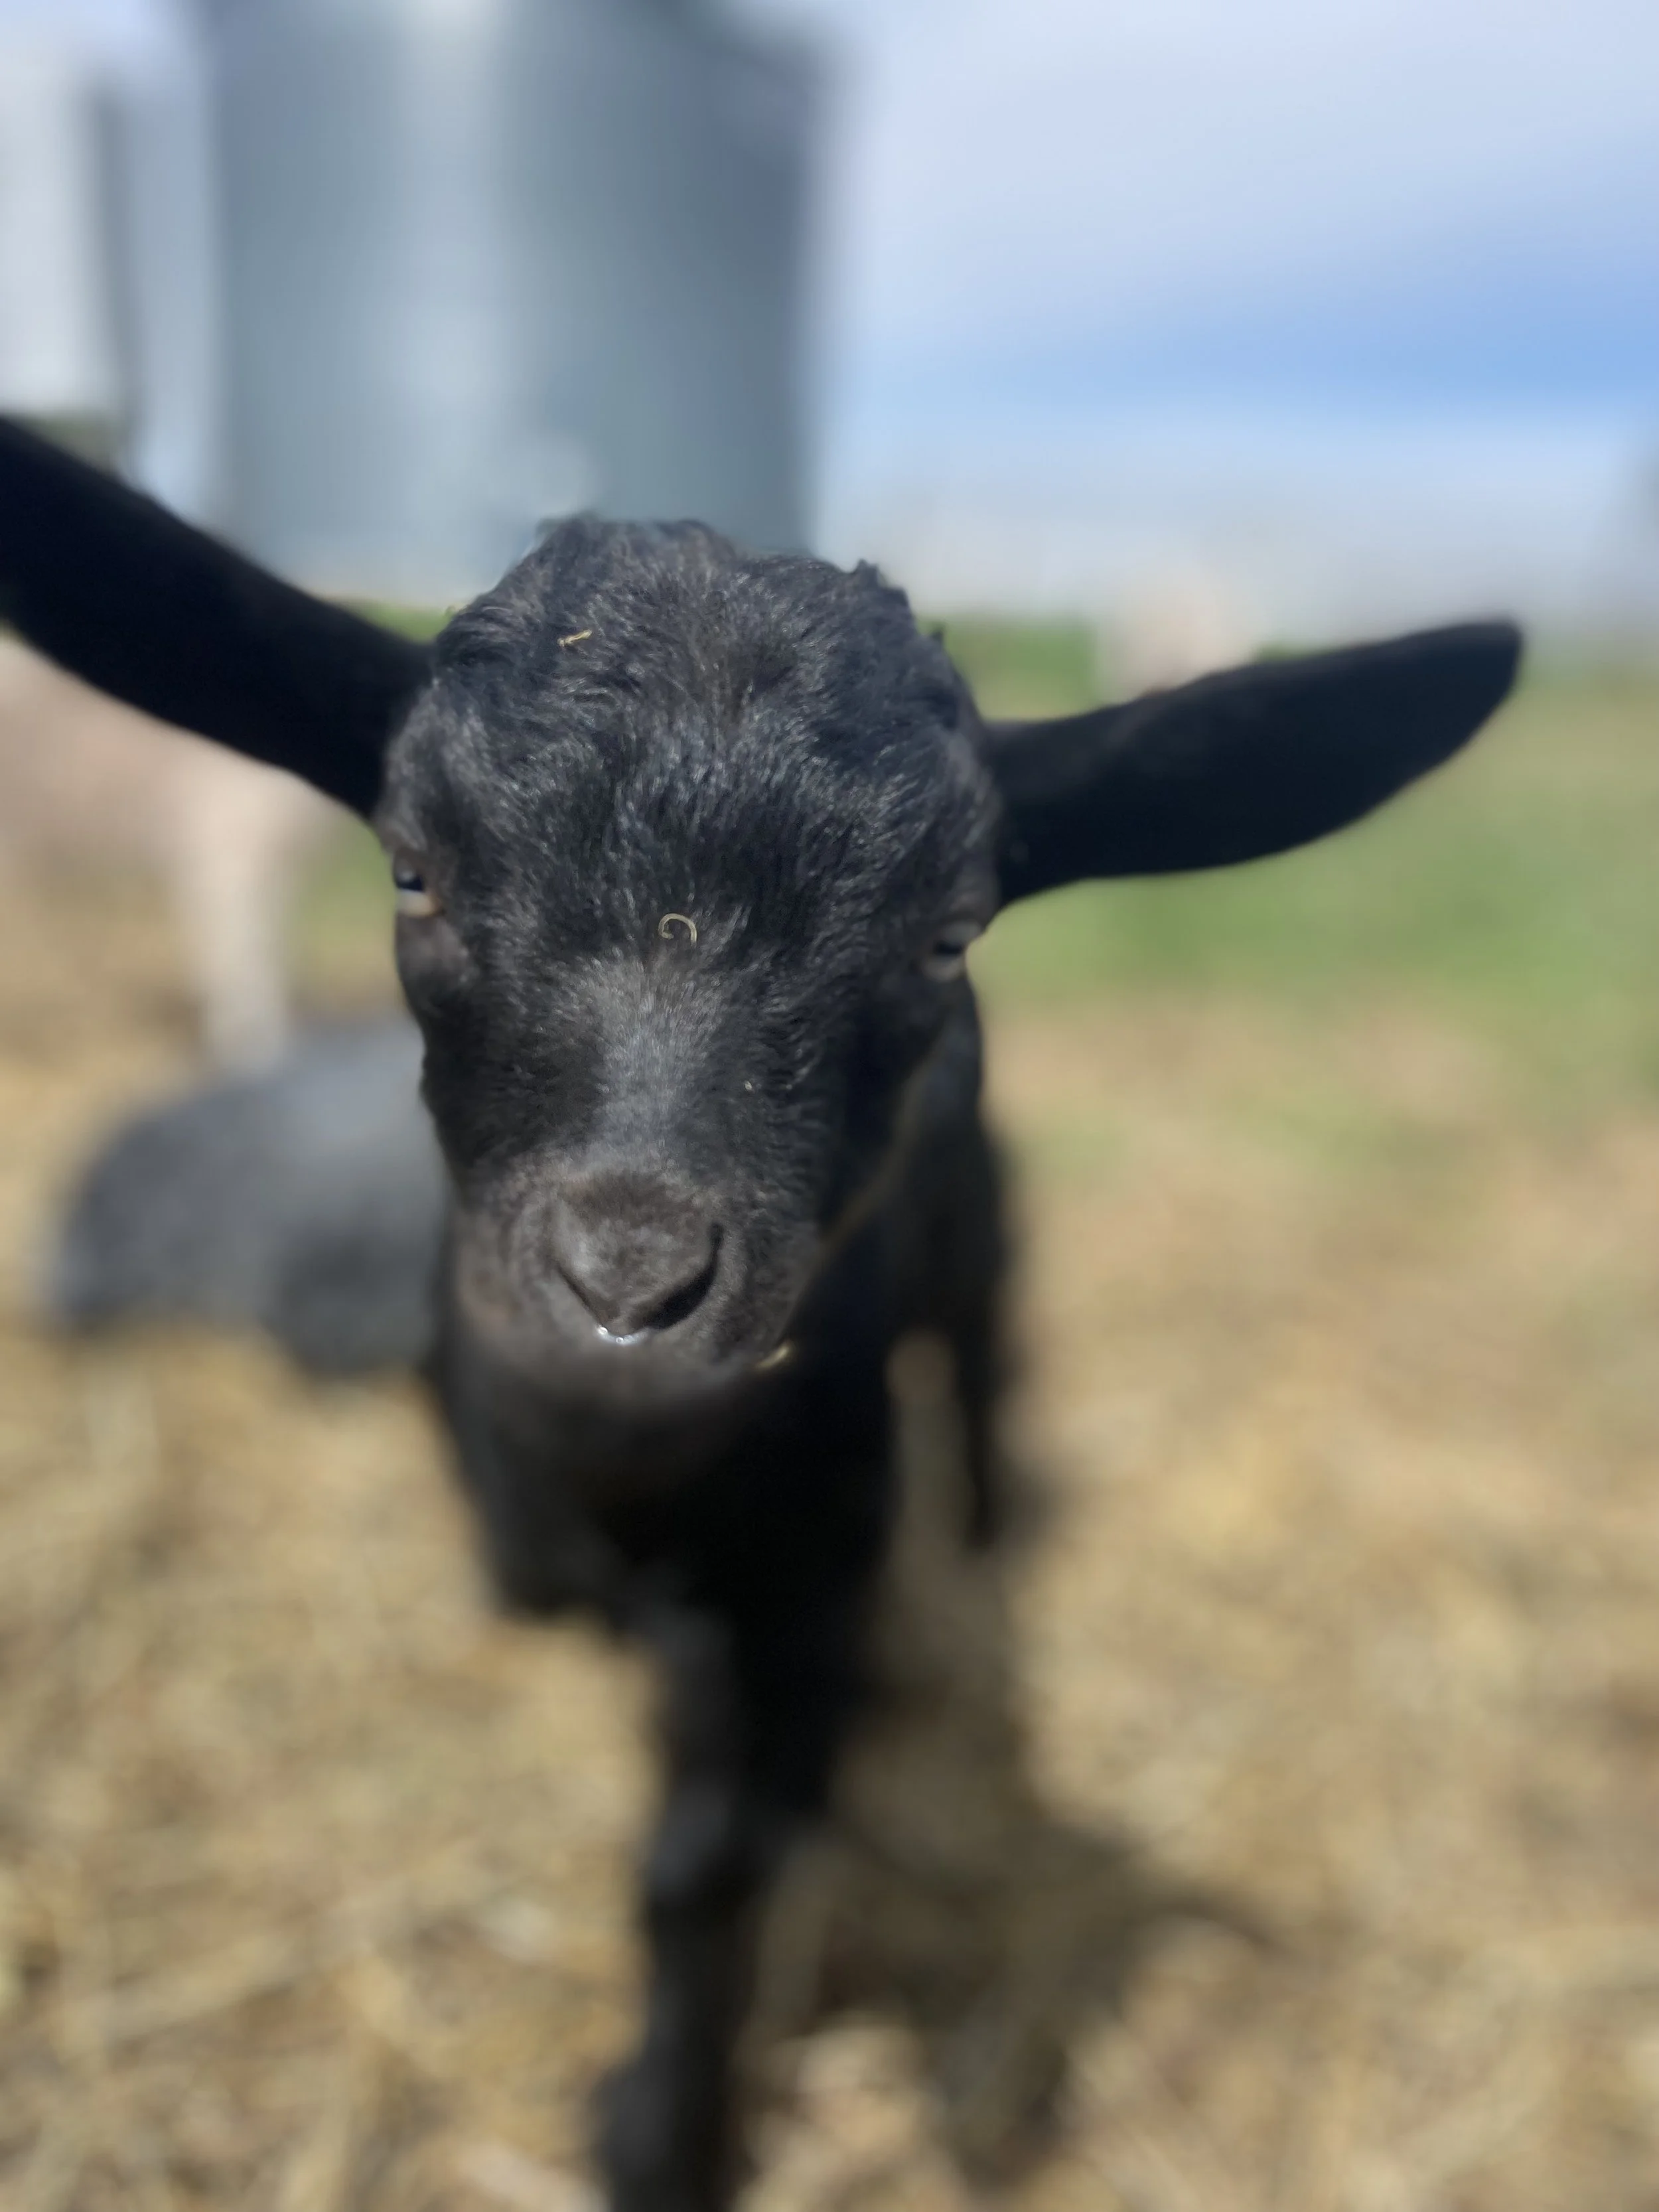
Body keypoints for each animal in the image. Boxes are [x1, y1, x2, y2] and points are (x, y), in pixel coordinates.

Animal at [0, 418, 1520, 2211]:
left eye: (947, 934)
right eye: (414, 871)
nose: (625, 1285)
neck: (622, 1491)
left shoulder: (810, 1574)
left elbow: (705, 1863)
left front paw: (664, 2135)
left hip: (983, 1251)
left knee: (987, 1386)